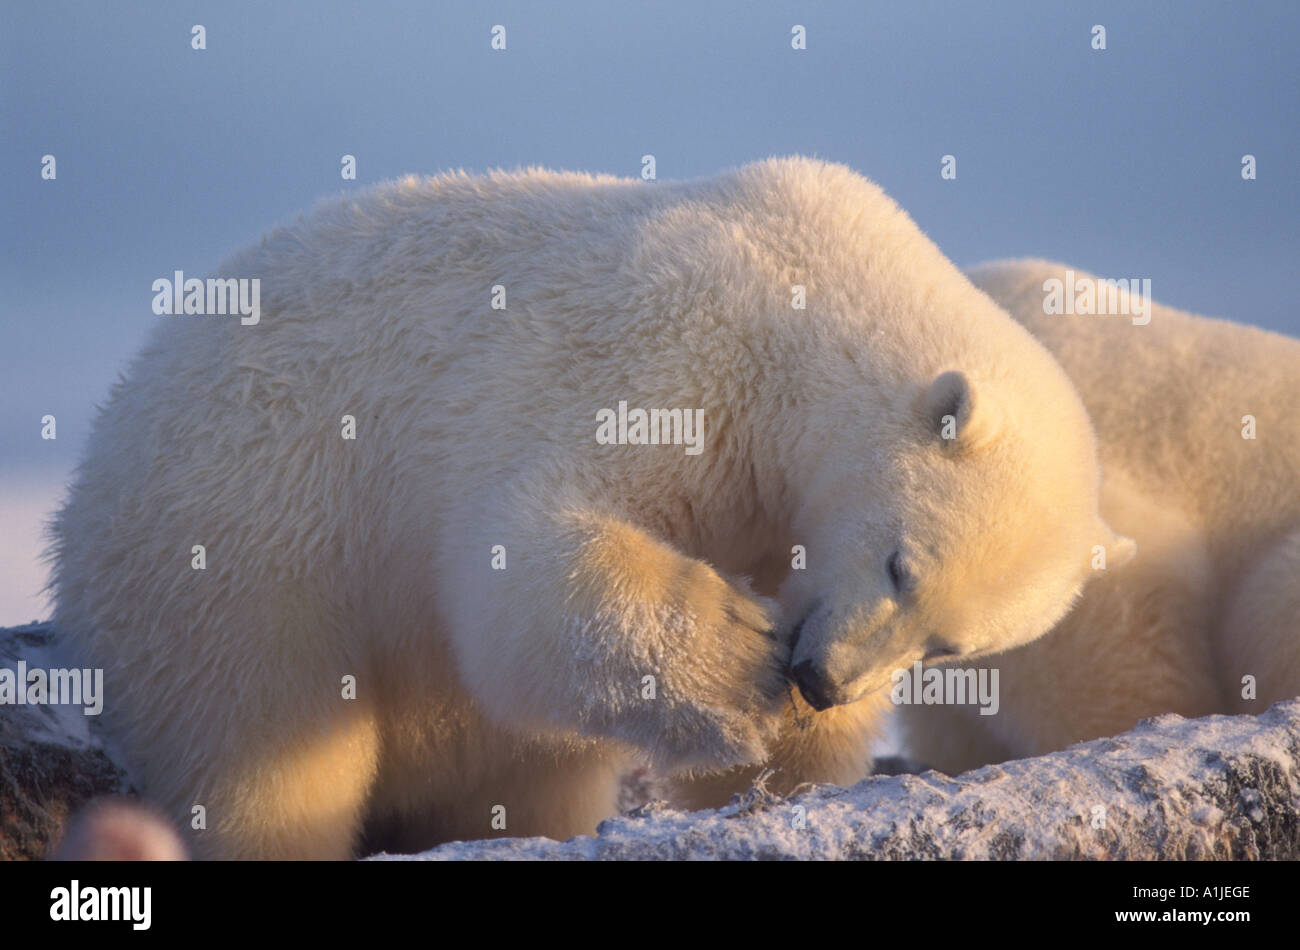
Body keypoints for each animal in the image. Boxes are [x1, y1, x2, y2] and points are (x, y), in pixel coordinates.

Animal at [47, 159, 1128, 859]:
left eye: (948, 646)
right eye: (902, 562)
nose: (823, 679)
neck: (803, 299)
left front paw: (788, 759)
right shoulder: (674, 346)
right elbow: (523, 552)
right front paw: (739, 666)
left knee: (513, 768)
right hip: (237, 547)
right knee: (260, 750)